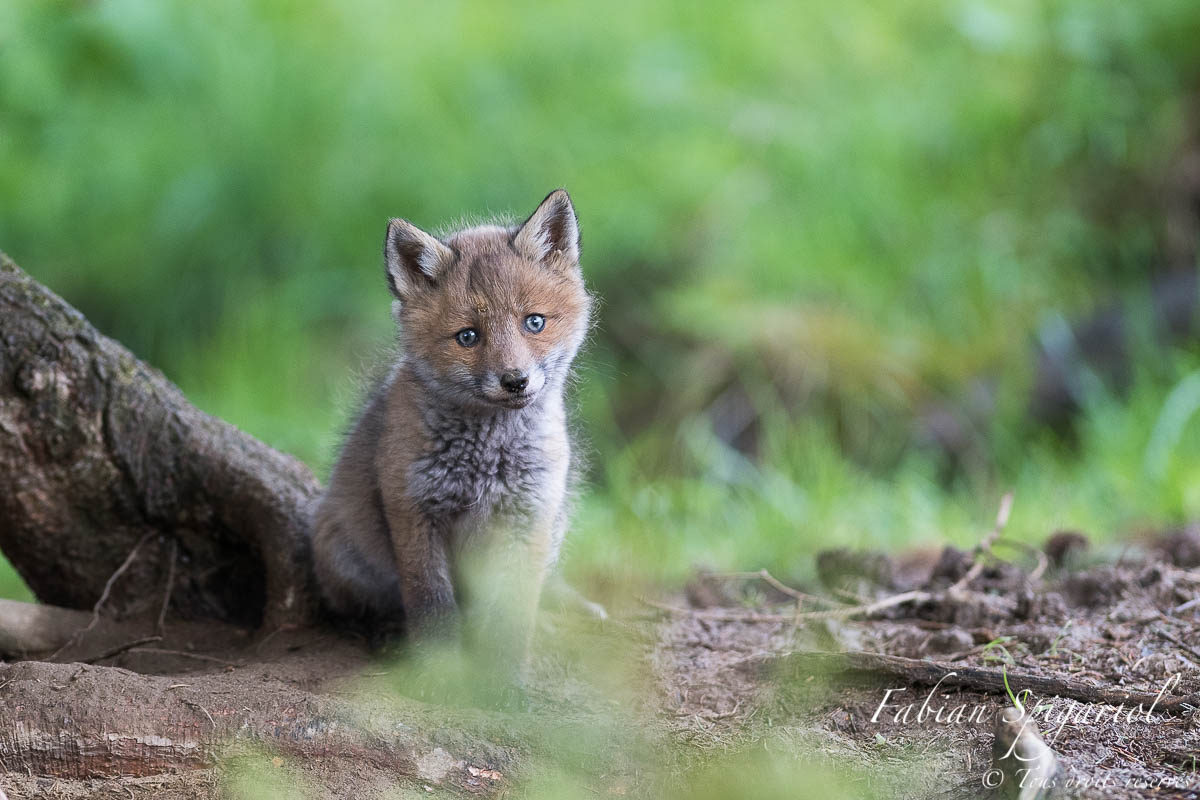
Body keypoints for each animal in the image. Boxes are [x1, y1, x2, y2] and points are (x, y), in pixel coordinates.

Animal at [311, 189, 598, 682]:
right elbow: (431, 604)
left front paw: (503, 679)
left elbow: (512, 615)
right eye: (468, 336)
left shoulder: (529, 515)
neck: (486, 459)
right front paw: (440, 674)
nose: (515, 381)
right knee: (358, 607)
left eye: (534, 322)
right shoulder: (414, 511)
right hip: (345, 554)